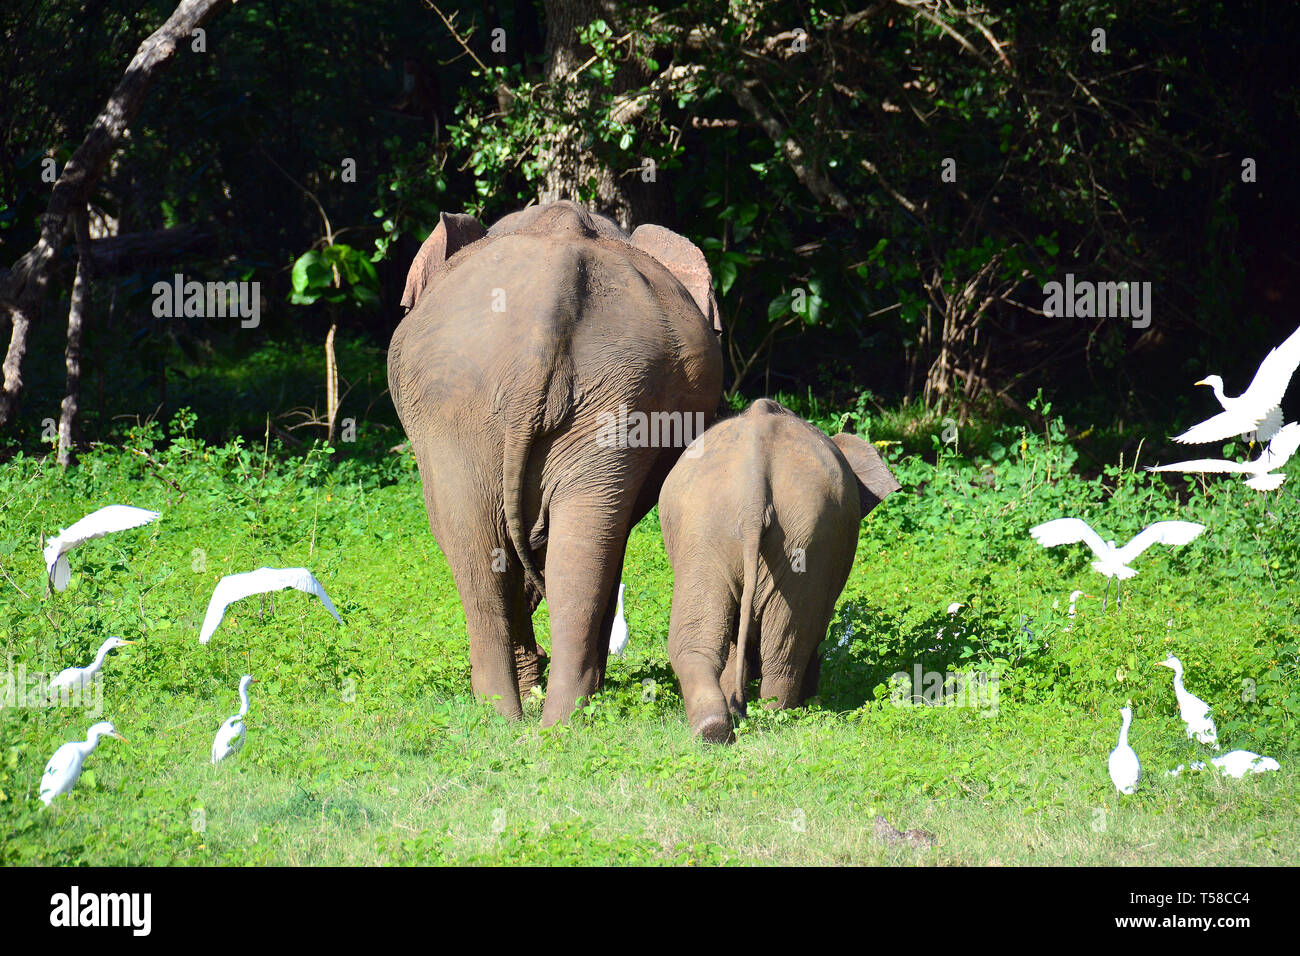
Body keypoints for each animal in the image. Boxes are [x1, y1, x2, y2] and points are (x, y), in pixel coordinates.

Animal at [388, 201, 723, 726]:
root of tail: (546, 320)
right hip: (490, 398)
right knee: (520, 548)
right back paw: (538, 718)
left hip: (578, 399)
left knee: (500, 547)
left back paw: (524, 717)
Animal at [658, 399, 901, 742]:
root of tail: (752, 493)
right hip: (797, 534)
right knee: (792, 642)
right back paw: (772, 718)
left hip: (713, 529)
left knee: (704, 641)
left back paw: (720, 727)